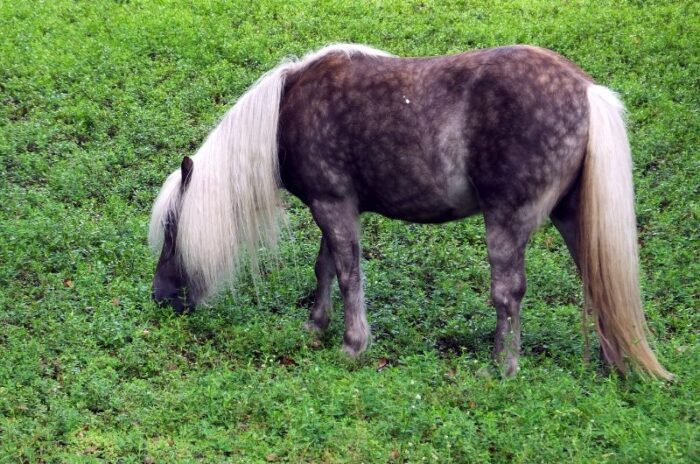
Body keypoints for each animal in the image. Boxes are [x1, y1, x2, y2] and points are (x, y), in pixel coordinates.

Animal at [148, 44, 671, 379]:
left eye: (172, 229)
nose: (160, 298)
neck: (286, 111)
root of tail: (586, 91)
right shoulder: (334, 206)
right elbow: (325, 268)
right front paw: (314, 329)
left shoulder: (333, 205)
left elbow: (347, 274)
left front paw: (352, 345)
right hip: (571, 216)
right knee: (597, 281)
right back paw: (610, 362)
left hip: (508, 221)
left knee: (508, 294)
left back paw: (502, 367)